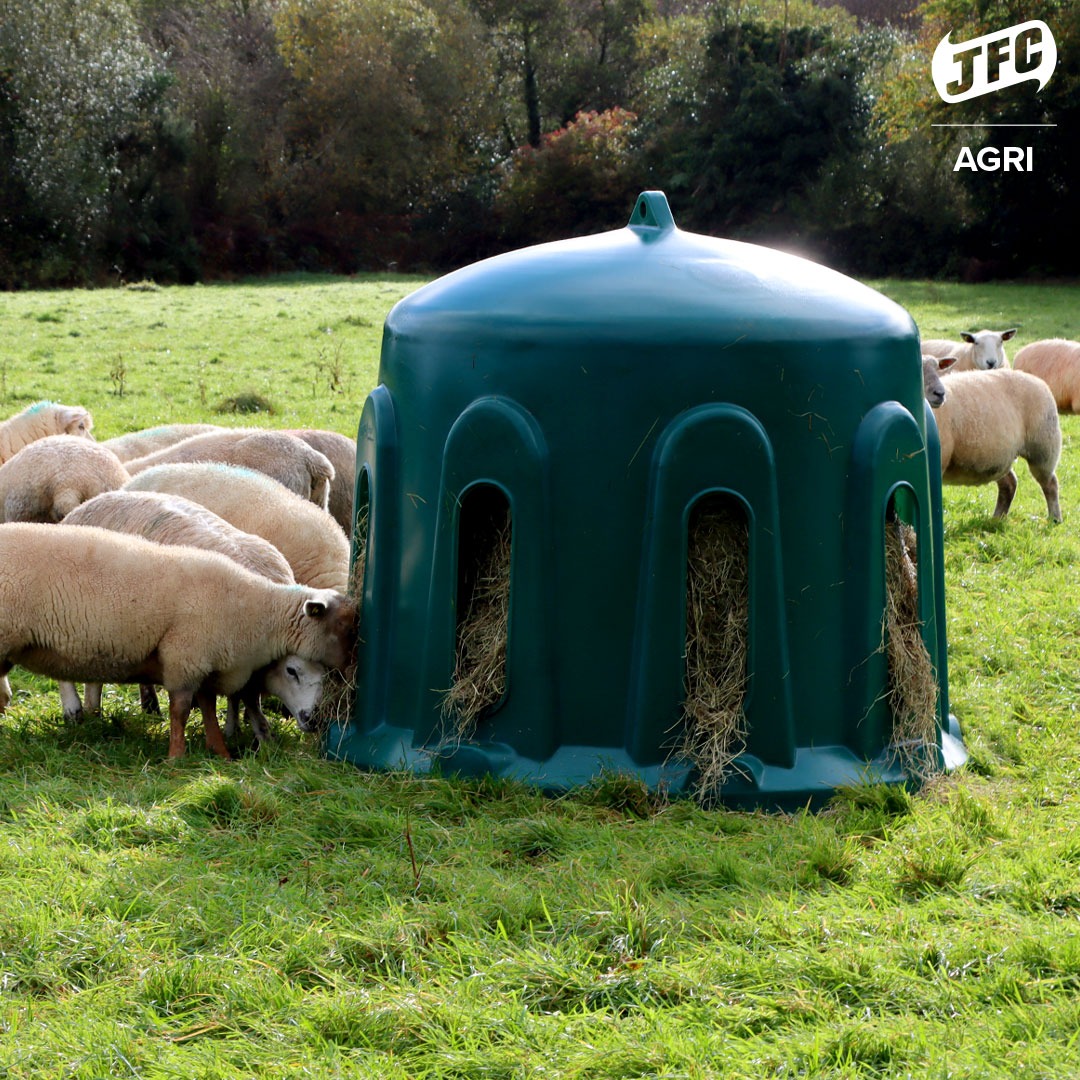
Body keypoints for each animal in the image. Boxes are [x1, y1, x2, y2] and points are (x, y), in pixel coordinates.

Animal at [0, 522, 357, 758]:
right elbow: (181, 710)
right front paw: (176, 757)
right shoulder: (184, 656)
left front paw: (220, 752)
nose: (315, 720)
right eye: (292, 671)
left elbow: (209, 708)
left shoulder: (207, 662)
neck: (258, 610)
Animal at [60, 489, 303, 743]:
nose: (312, 720)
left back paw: (95, 712)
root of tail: (92, 501)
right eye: (292, 670)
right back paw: (74, 712)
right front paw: (255, 734)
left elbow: (236, 693)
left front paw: (235, 730)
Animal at [922, 355, 1062, 522]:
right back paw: (997, 519)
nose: (940, 393)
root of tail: (1038, 380)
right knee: (1009, 483)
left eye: (938, 368)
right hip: (997, 458)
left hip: (1043, 449)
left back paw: (1054, 518)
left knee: (1050, 483)